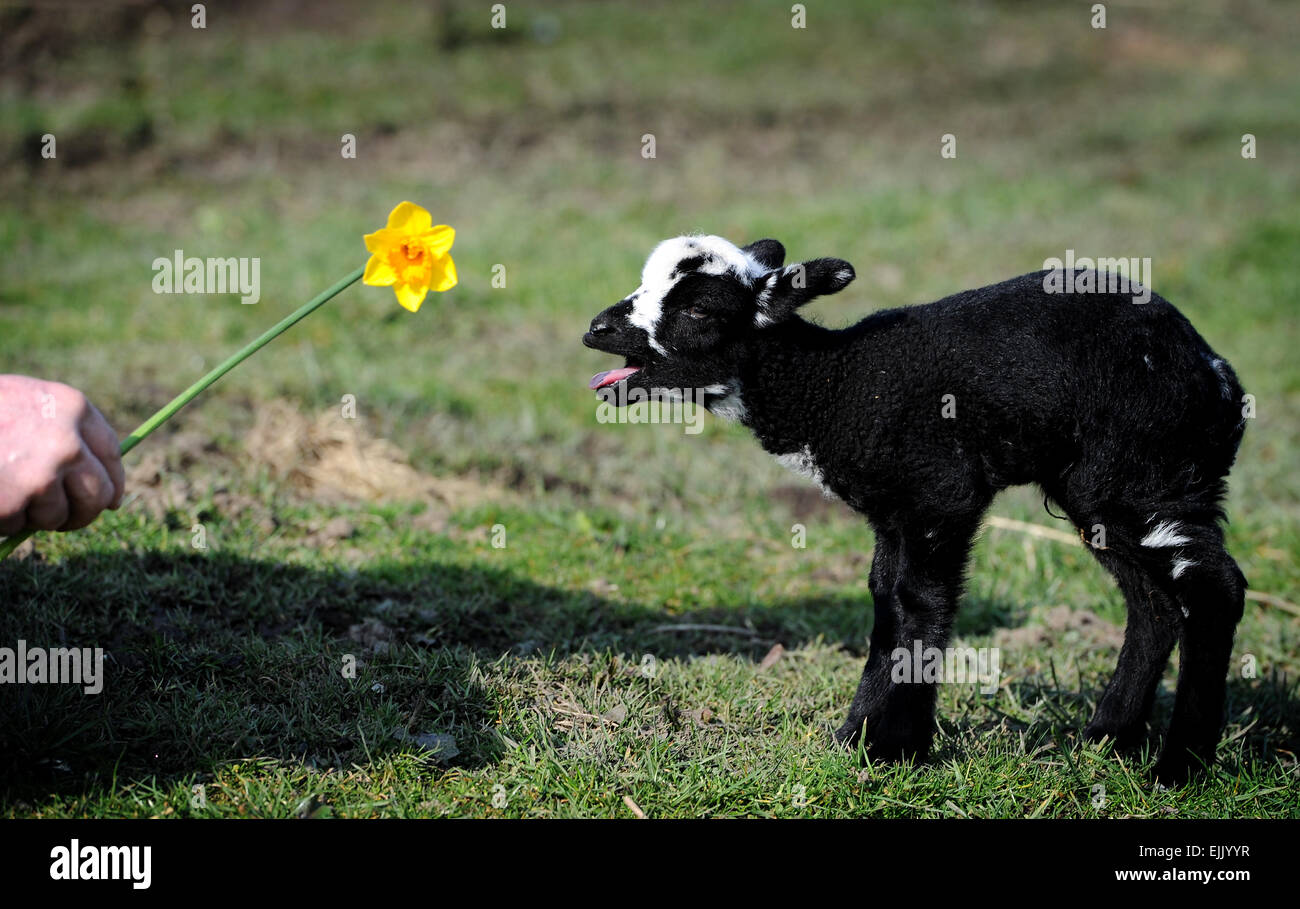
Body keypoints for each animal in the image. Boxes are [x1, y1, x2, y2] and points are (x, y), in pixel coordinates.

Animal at [582, 234, 1249, 785]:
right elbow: (885, 601)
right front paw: (858, 738)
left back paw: (1179, 769)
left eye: (698, 309)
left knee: (1214, 588)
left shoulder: (940, 491)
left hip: (1145, 471)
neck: (837, 387)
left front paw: (895, 748)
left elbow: (920, 603)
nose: (596, 329)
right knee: (1154, 601)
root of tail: (1217, 375)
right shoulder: (894, 510)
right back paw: (1109, 739)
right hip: (1108, 489)